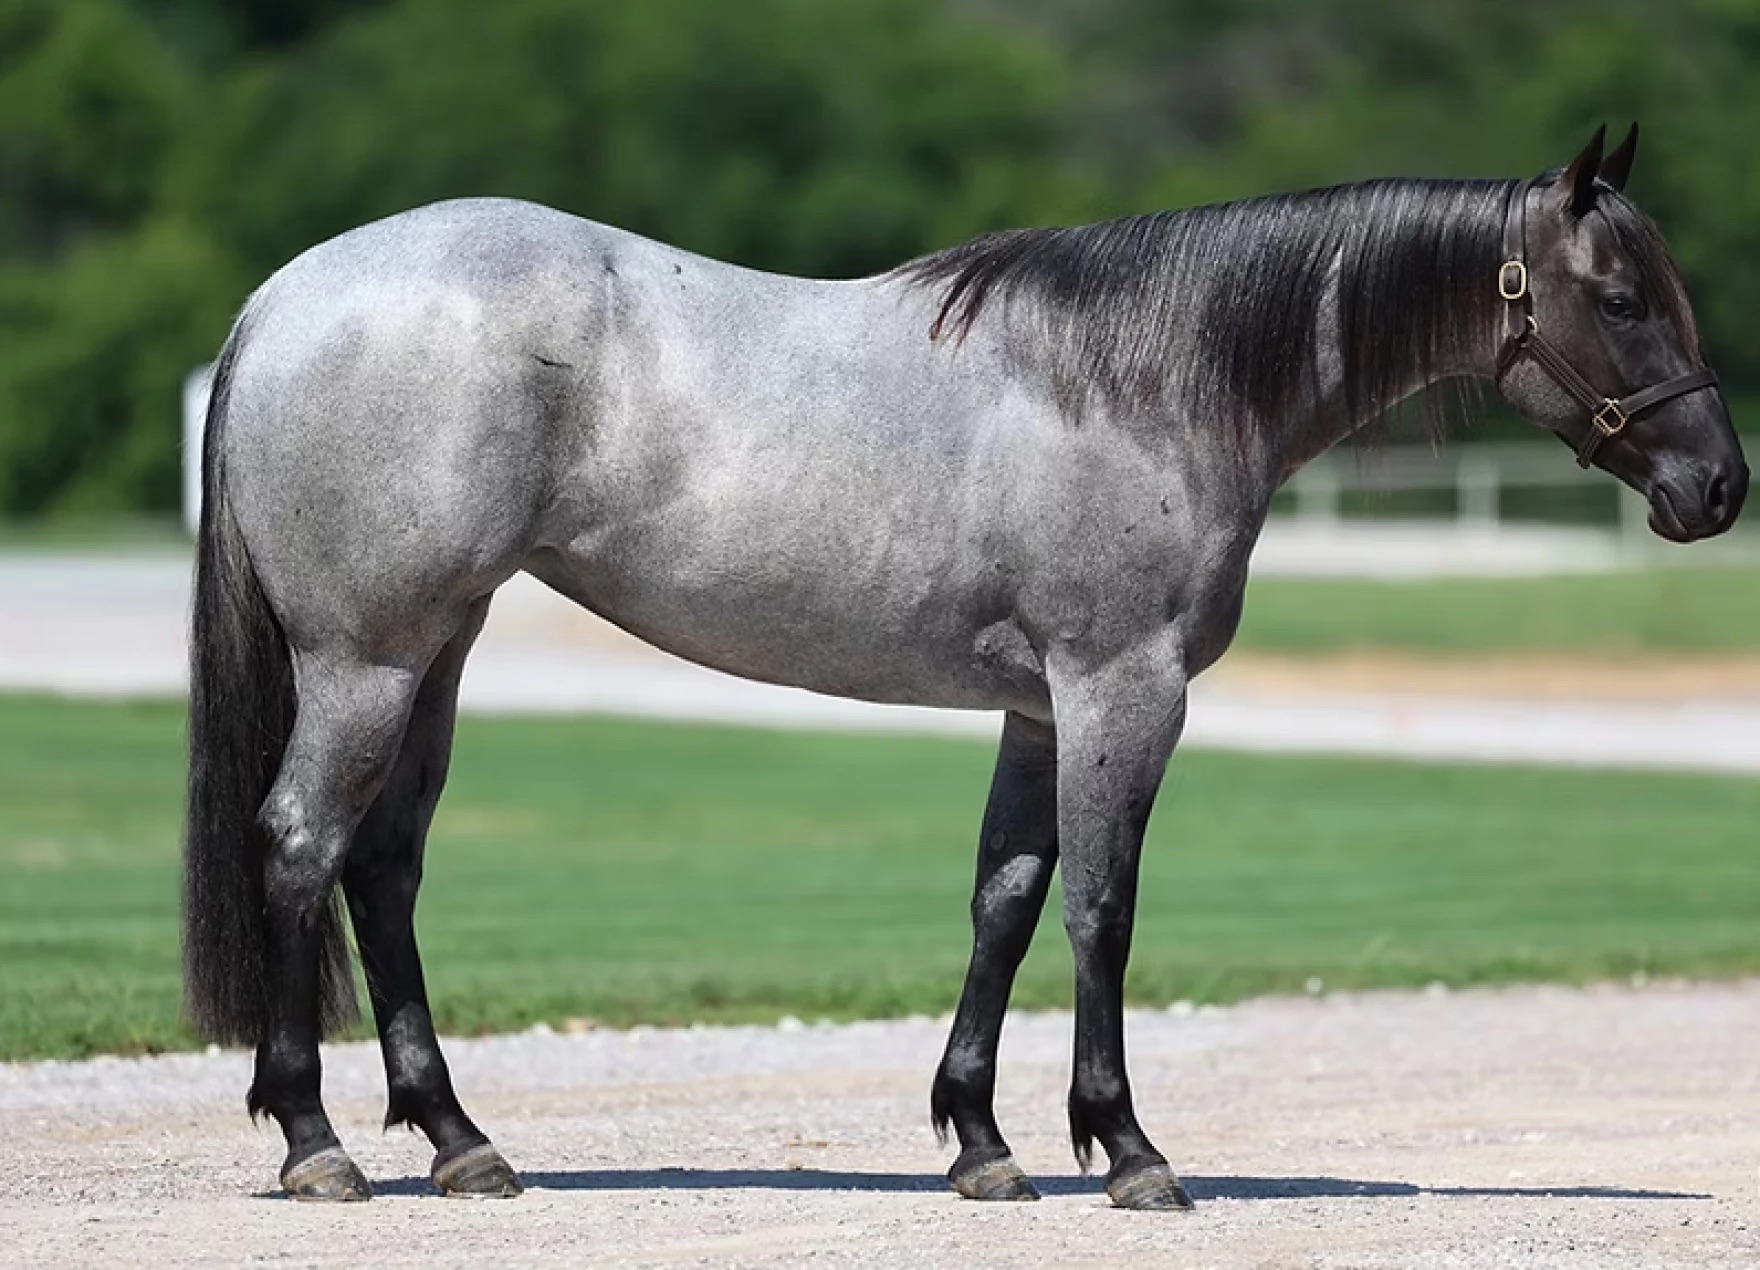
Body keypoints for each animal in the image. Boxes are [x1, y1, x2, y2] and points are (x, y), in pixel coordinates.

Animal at [183, 124, 1745, 1209]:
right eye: (1619, 295)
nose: (1718, 488)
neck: (1149, 380)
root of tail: (282, 300)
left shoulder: (1038, 711)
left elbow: (1005, 899)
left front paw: (983, 1143)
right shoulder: (1124, 689)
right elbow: (1103, 907)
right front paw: (1127, 1146)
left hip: (436, 650)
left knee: (383, 868)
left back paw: (461, 1141)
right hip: (368, 659)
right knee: (300, 843)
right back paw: (316, 1144)